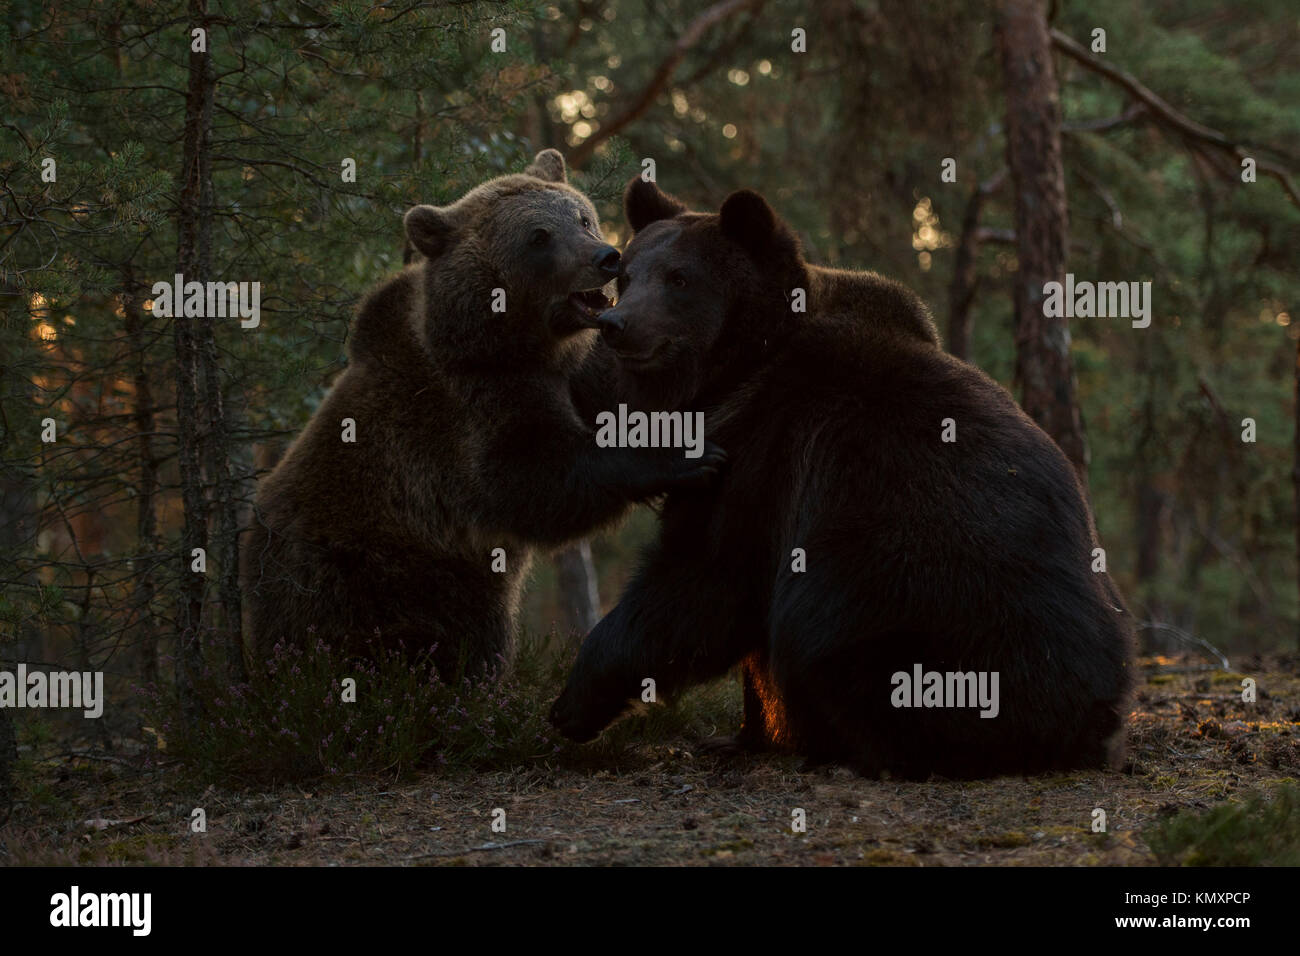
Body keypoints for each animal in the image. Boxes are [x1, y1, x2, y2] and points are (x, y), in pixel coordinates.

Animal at [242, 152, 724, 680]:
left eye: (581, 217)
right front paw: (683, 456)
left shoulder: (585, 372)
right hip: (353, 572)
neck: (526, 345)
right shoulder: (470, 407)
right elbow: (534, 474)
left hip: (459, 584)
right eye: (539, 236)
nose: (606, 256)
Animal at [548, 179, 1135, 779]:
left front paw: (574, 701)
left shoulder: (761, 458)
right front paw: (742, 734)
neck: (733, 374)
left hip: (920, 618)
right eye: (627, 275)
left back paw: (848, 748)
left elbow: (700, 579)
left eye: (679, 278)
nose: (616, 325)